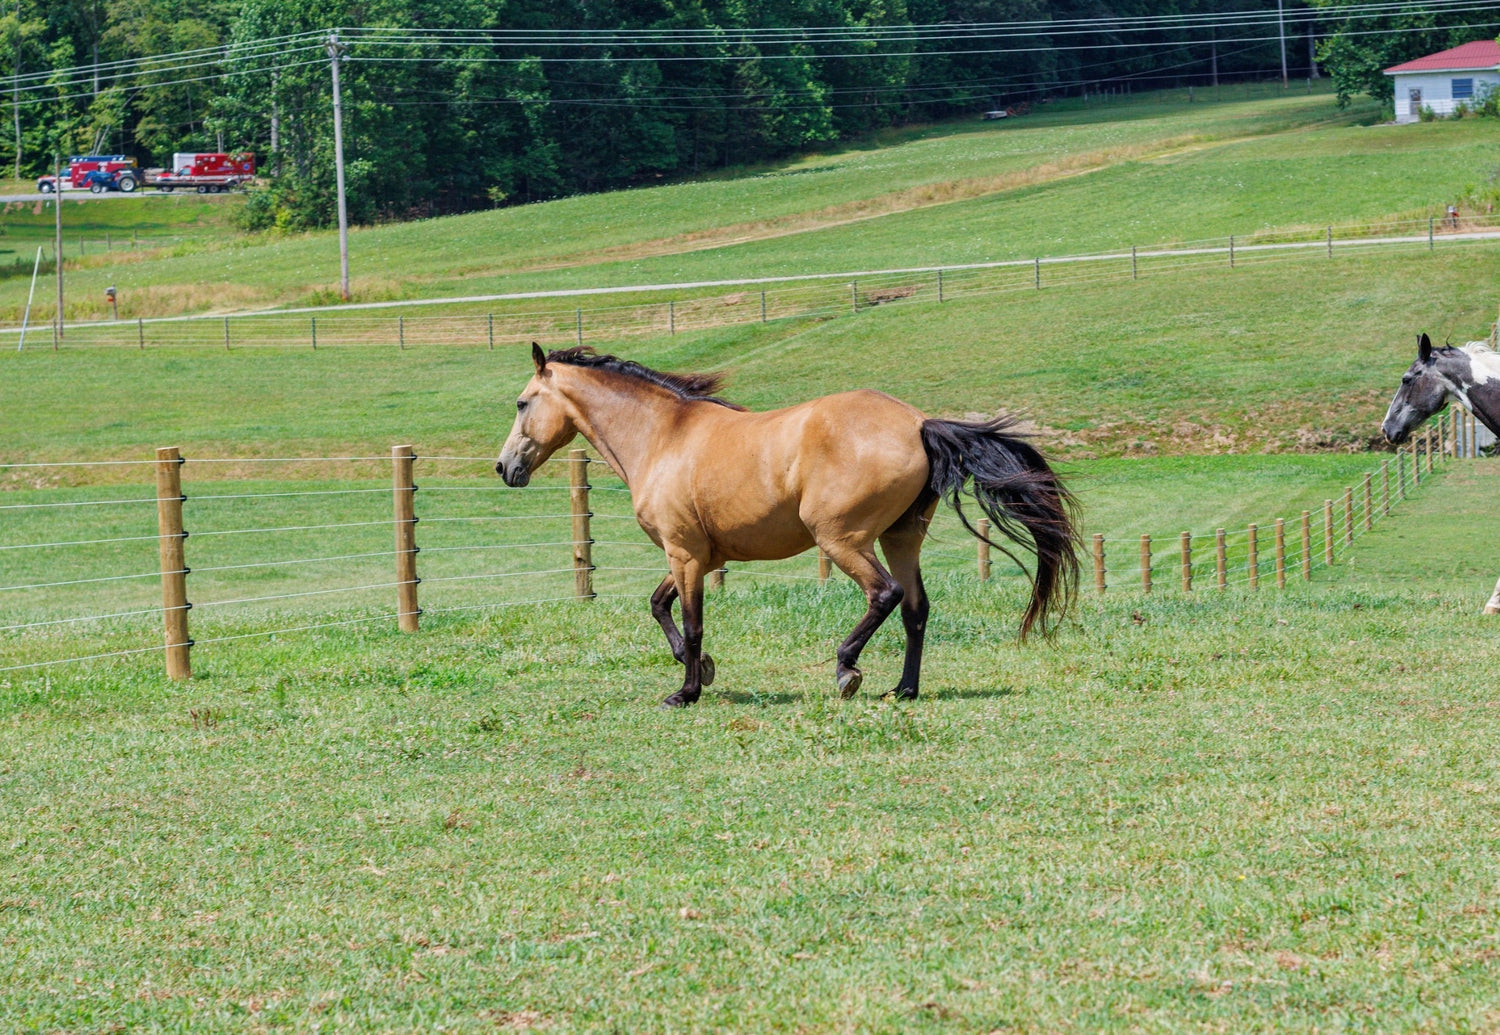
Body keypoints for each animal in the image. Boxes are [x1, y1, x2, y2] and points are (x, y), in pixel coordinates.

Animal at [496, 345, 1081, 708]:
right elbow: (660, 607)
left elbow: (690, 621)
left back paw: (847, 670)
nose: (504, 468)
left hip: (842, 540)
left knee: (885, 595)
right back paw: (903, 690)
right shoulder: (698, 556)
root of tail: (919, 424)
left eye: (522, 403)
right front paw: (702, 668)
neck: (663, 437)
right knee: (916, 609)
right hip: (900, 538)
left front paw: (685, 692)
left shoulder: (684, 554)